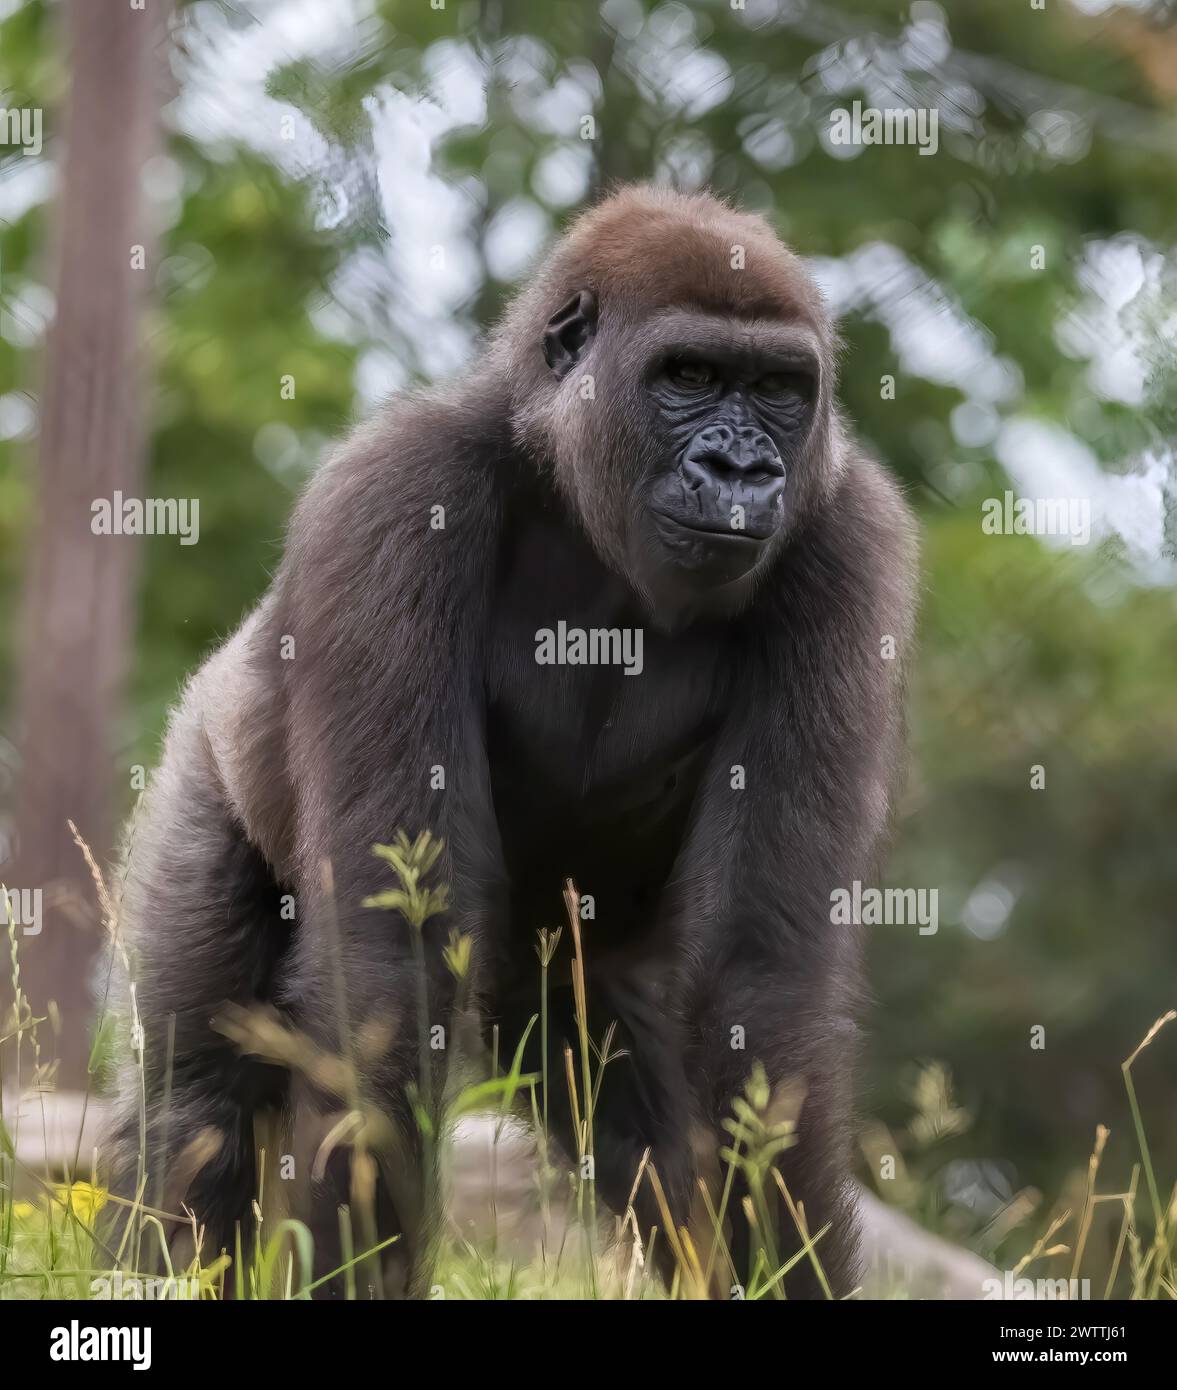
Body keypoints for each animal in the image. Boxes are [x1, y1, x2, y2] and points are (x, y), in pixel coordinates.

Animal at [103, 184, 916, 1299]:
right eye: (690, 377)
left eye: (778, 389)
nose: (742, 468)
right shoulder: (397, 493)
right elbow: (391, 967)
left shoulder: (845, 544)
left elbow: (759, 986)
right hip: (206, 755)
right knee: (193, 1094)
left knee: (648, 1138)